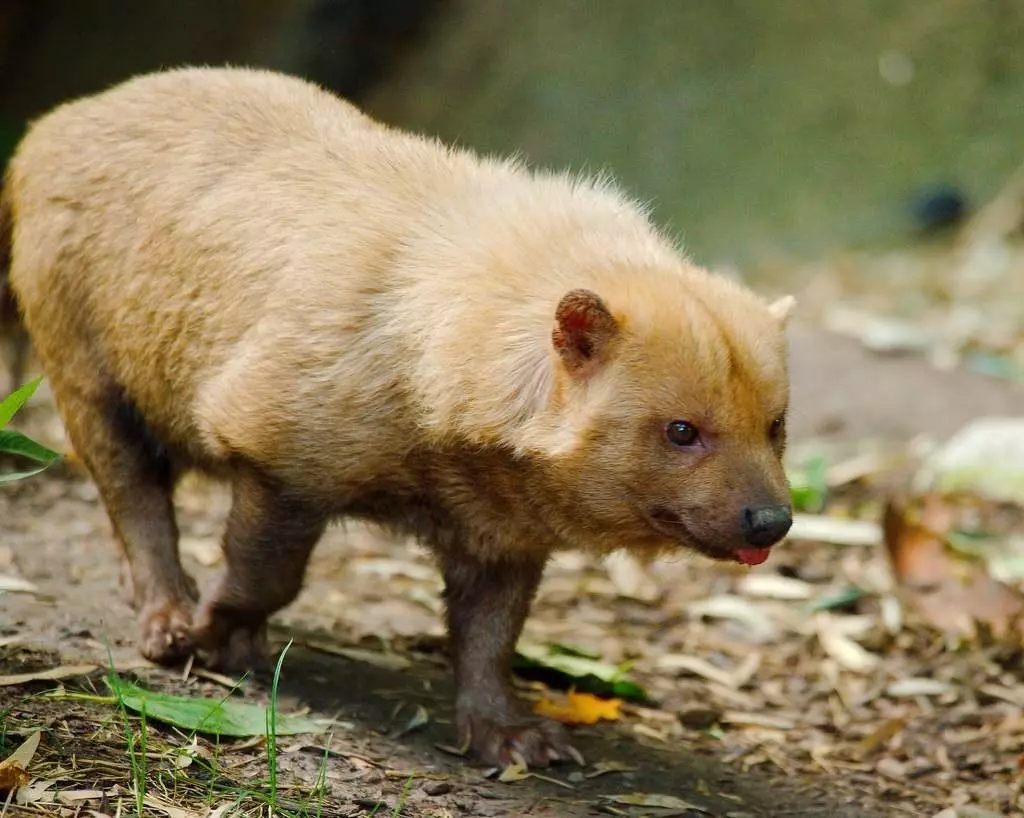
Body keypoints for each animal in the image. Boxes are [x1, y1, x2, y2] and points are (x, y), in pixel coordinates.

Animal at [2, 67, 790, 769]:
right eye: (682, 430)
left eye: (776, 424)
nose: (771, 520)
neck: (423, 339)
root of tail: (45, 130)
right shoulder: (278, 438)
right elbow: (266, 569)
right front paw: (214, 636)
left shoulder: (503, 520)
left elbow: (493, 628)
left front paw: (514, 737)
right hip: (81, 353)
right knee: (129, 484)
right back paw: (164, 614)